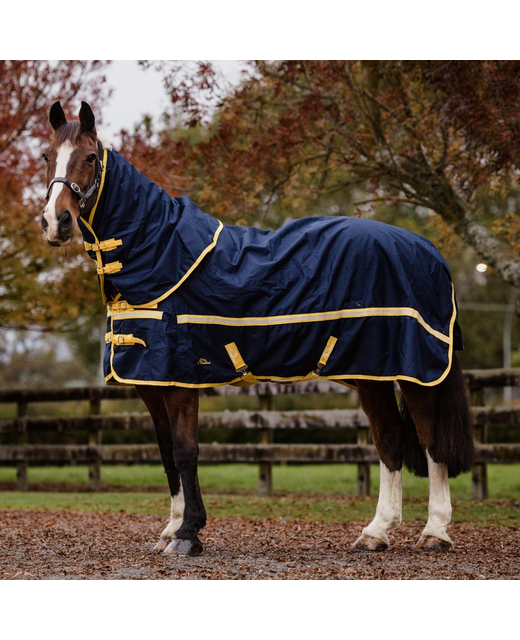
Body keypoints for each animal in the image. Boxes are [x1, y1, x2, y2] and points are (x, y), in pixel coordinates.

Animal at [40, 101, 475, 557]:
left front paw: (188, 533)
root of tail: (427, 250)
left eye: (91, 157)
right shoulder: (150, 383)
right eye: (47, 156)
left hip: (416, 374)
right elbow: (165, 453)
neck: (162, 253)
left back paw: (435, 532)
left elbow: (185, 451)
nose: (57, 222)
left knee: (430, 442)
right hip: (371, 372)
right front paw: (171, 529)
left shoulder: (181, 378)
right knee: (389, 440)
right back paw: (375, 533)